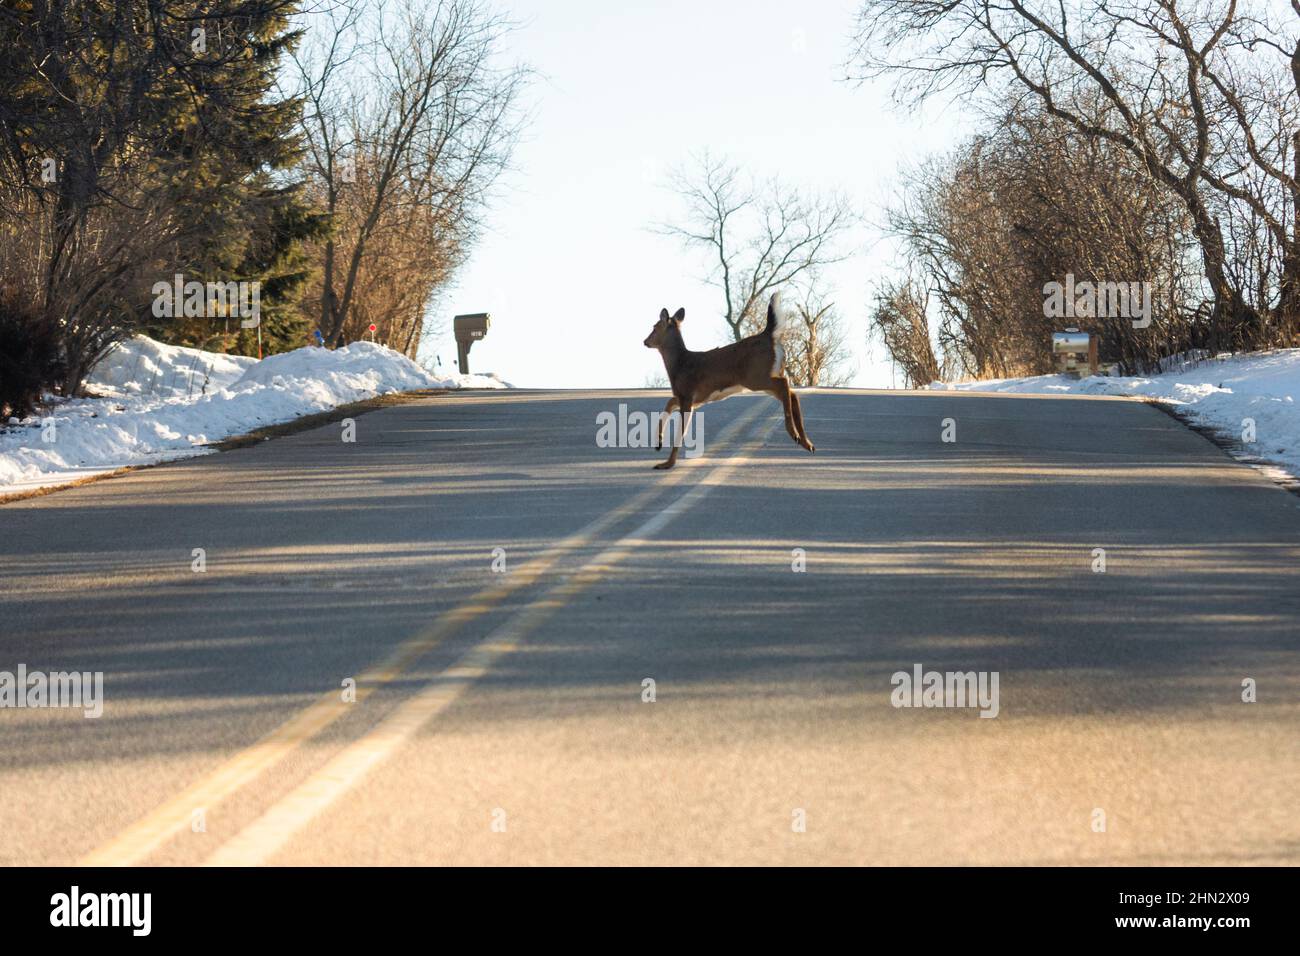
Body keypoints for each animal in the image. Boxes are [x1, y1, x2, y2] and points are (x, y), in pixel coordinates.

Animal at [642, 293, 814, 469]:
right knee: (792, 393)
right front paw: (658, 443)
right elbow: (669, 403)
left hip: (756, 376)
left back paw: (794, 433)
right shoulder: (693, 398)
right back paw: (806, 442)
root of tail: (768, 335)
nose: (645, 341)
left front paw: (667, 463)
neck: (679, 365)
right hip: (767, 375)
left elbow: (680, 431)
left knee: (784, 384)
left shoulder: (688, 394)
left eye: (654, 327)